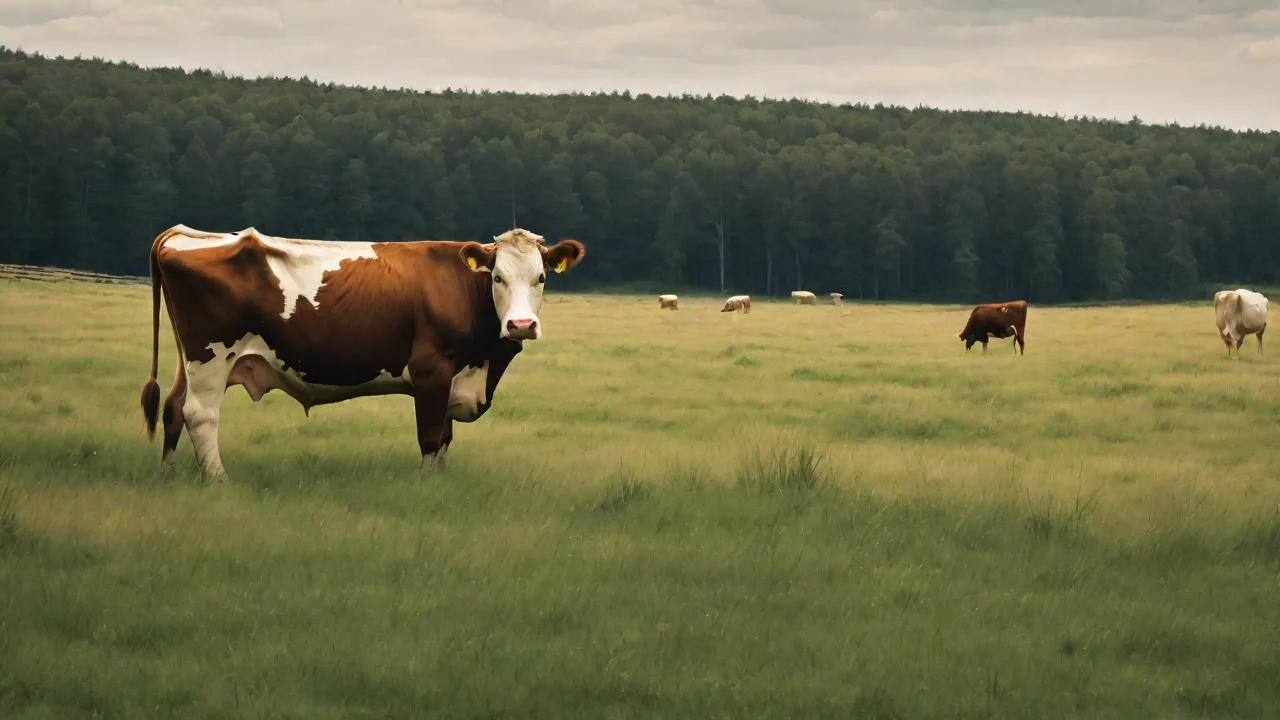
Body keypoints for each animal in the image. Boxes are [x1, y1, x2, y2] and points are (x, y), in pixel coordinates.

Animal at [138, 225, 584, 480]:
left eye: (542, 277)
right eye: (497, 276)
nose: (521, 325)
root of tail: (181, 234)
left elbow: (445, 438)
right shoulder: (432, 371)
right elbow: (430, 438)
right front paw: (427, 488)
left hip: (192, 359)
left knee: (174, 407)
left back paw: (167, 473)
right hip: (211, 355)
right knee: (200, 414)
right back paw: (218, 479)